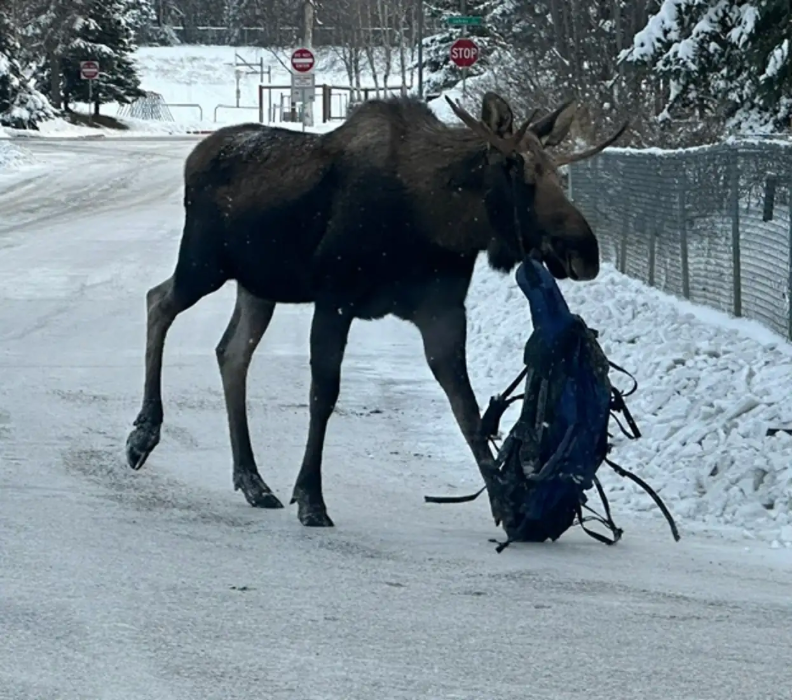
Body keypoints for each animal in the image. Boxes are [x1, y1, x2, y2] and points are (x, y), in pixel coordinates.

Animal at [125, 91, 627, 529]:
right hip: (203, 264)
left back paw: (252, 480)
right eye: (516, 169)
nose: (584, 253)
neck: (441, 222)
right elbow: (323, 395)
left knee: (231, 353)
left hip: (257, 287)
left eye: (558, 174)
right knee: (157, 301)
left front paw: (506, 501)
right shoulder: (335, 298)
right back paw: (143, 435)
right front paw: (311, 498)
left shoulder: (442, 311)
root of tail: (194, 156)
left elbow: (467, 409)